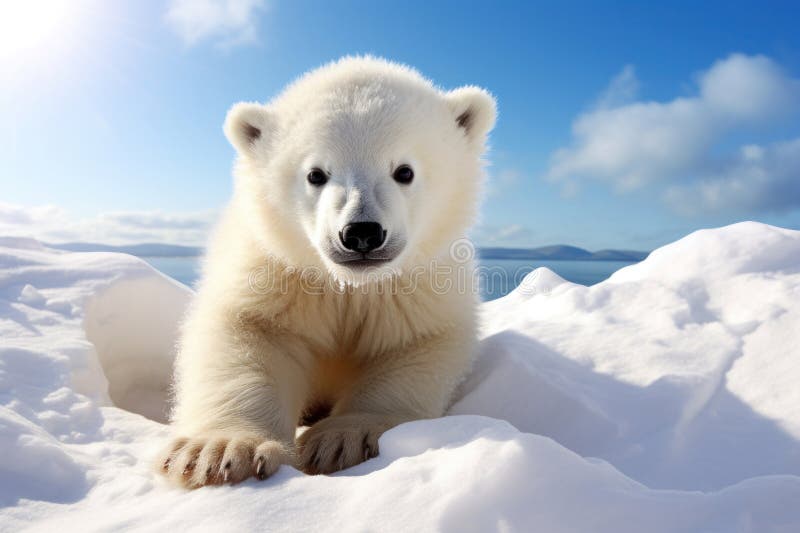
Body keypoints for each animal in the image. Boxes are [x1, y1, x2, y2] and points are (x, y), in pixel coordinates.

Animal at [157, 56, 496, 488]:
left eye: (404, 171)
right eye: (316, 174)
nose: (362, 232)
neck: (349, 286)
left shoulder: (416, 287)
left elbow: (413, 348)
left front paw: (341, 439)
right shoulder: (275, 273)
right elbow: (248, 336)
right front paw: (220, 452)